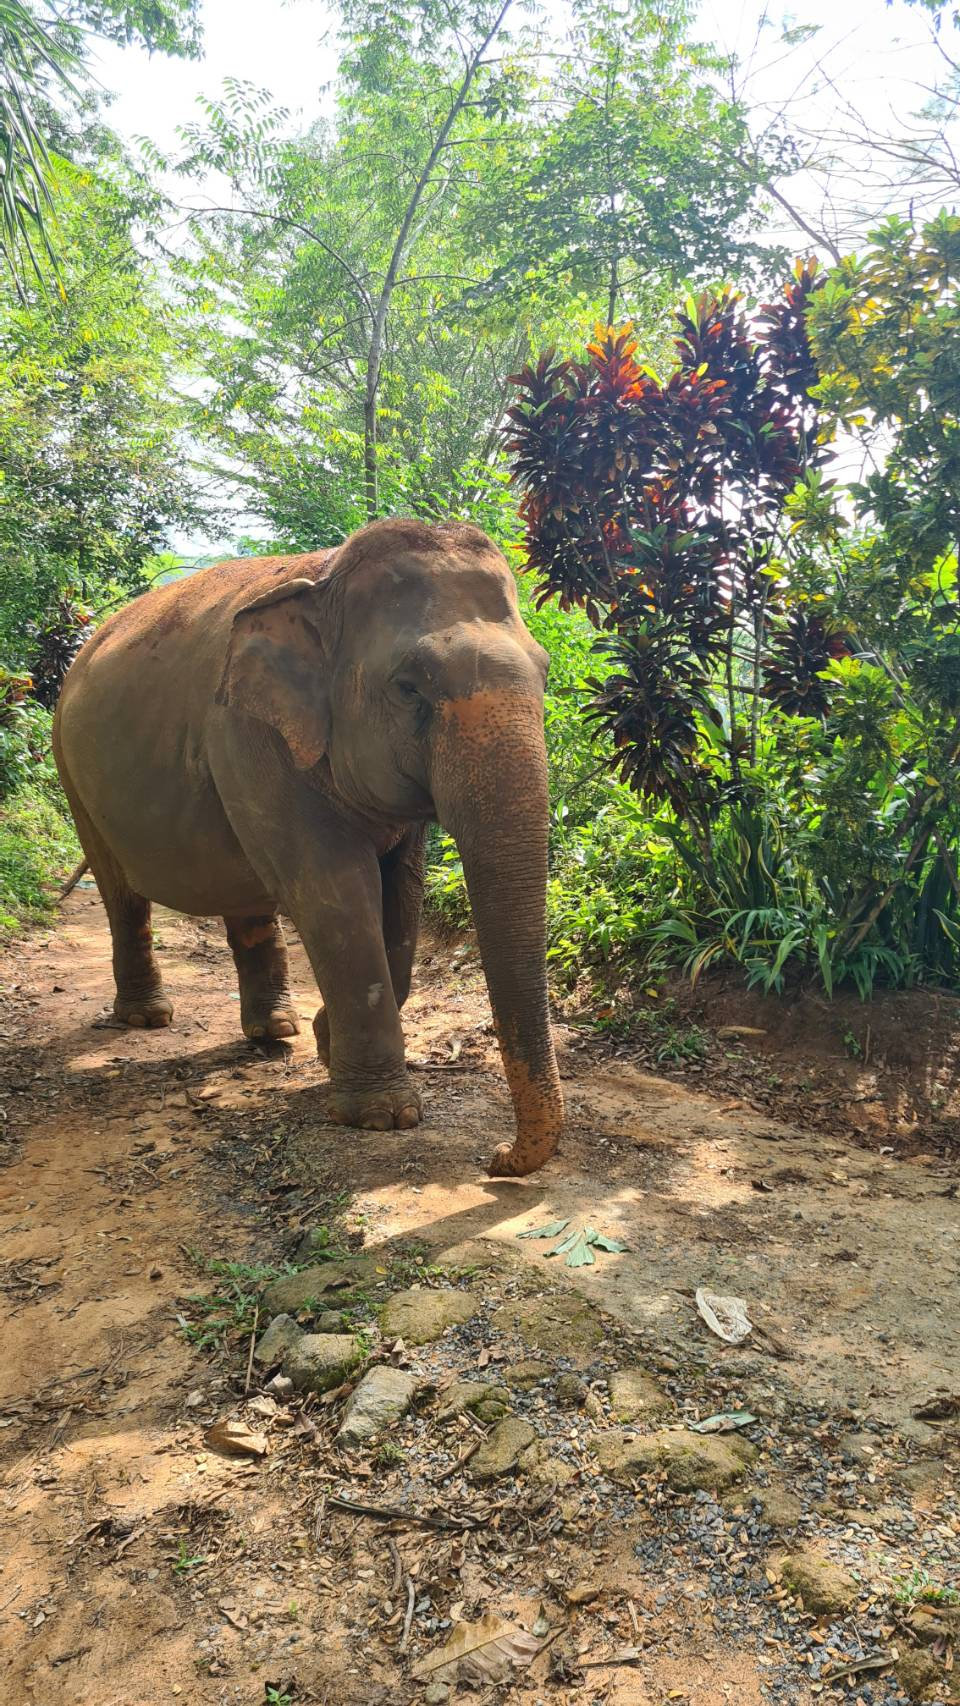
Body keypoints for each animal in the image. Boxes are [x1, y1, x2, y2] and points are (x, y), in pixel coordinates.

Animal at [52, 517, 564, 1177]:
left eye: (545, 674)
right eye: (408, 688)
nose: (498, 1157)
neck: (327, 578)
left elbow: (403, 891)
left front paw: (324, 1043)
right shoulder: (249, 734)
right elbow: (335, 889)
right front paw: (381, 1117)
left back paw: (277, 1030)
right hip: (72, 769)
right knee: (122, 893)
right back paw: (147, 1018)